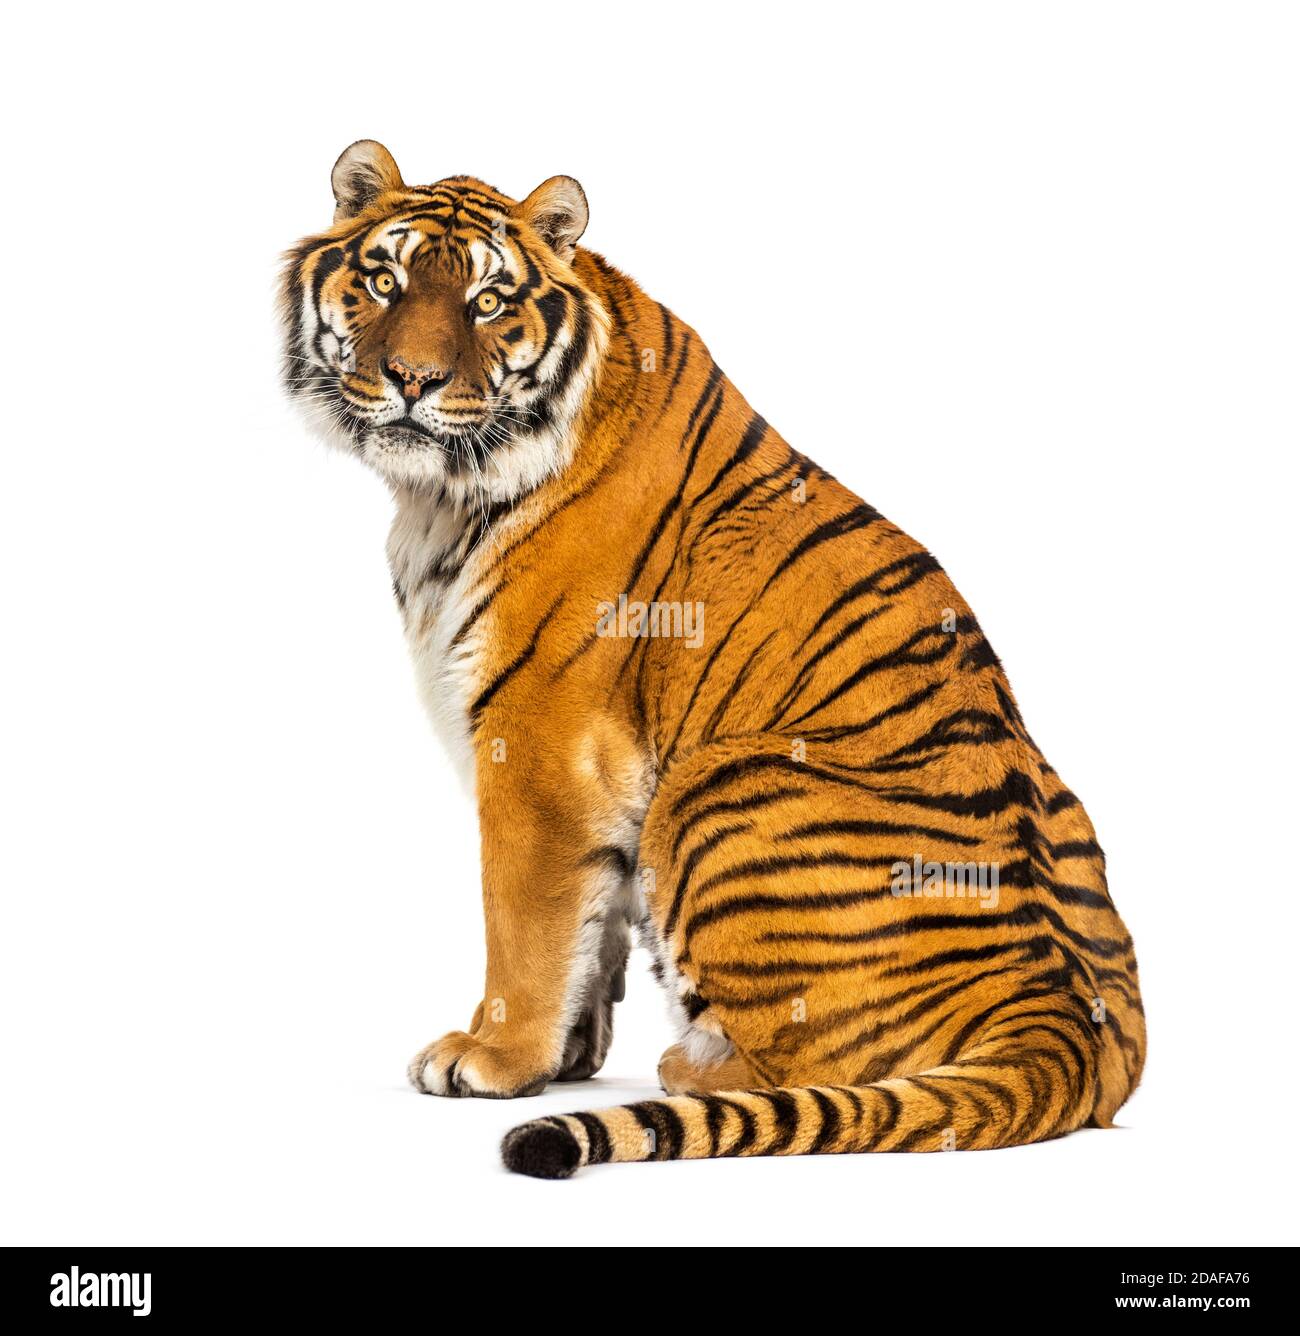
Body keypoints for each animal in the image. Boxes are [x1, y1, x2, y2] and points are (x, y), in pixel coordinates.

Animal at [280, 140, 1146, 1178]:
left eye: (488, 302)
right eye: (384, 280)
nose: (410, 378)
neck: (439, 494)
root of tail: (1063, 1012)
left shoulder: (539, 740)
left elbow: (523, 918)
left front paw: (495, 1058)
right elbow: (591, 925)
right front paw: (566, 1055)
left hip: (717, 779)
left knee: (808, 1074)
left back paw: (689, 1065)